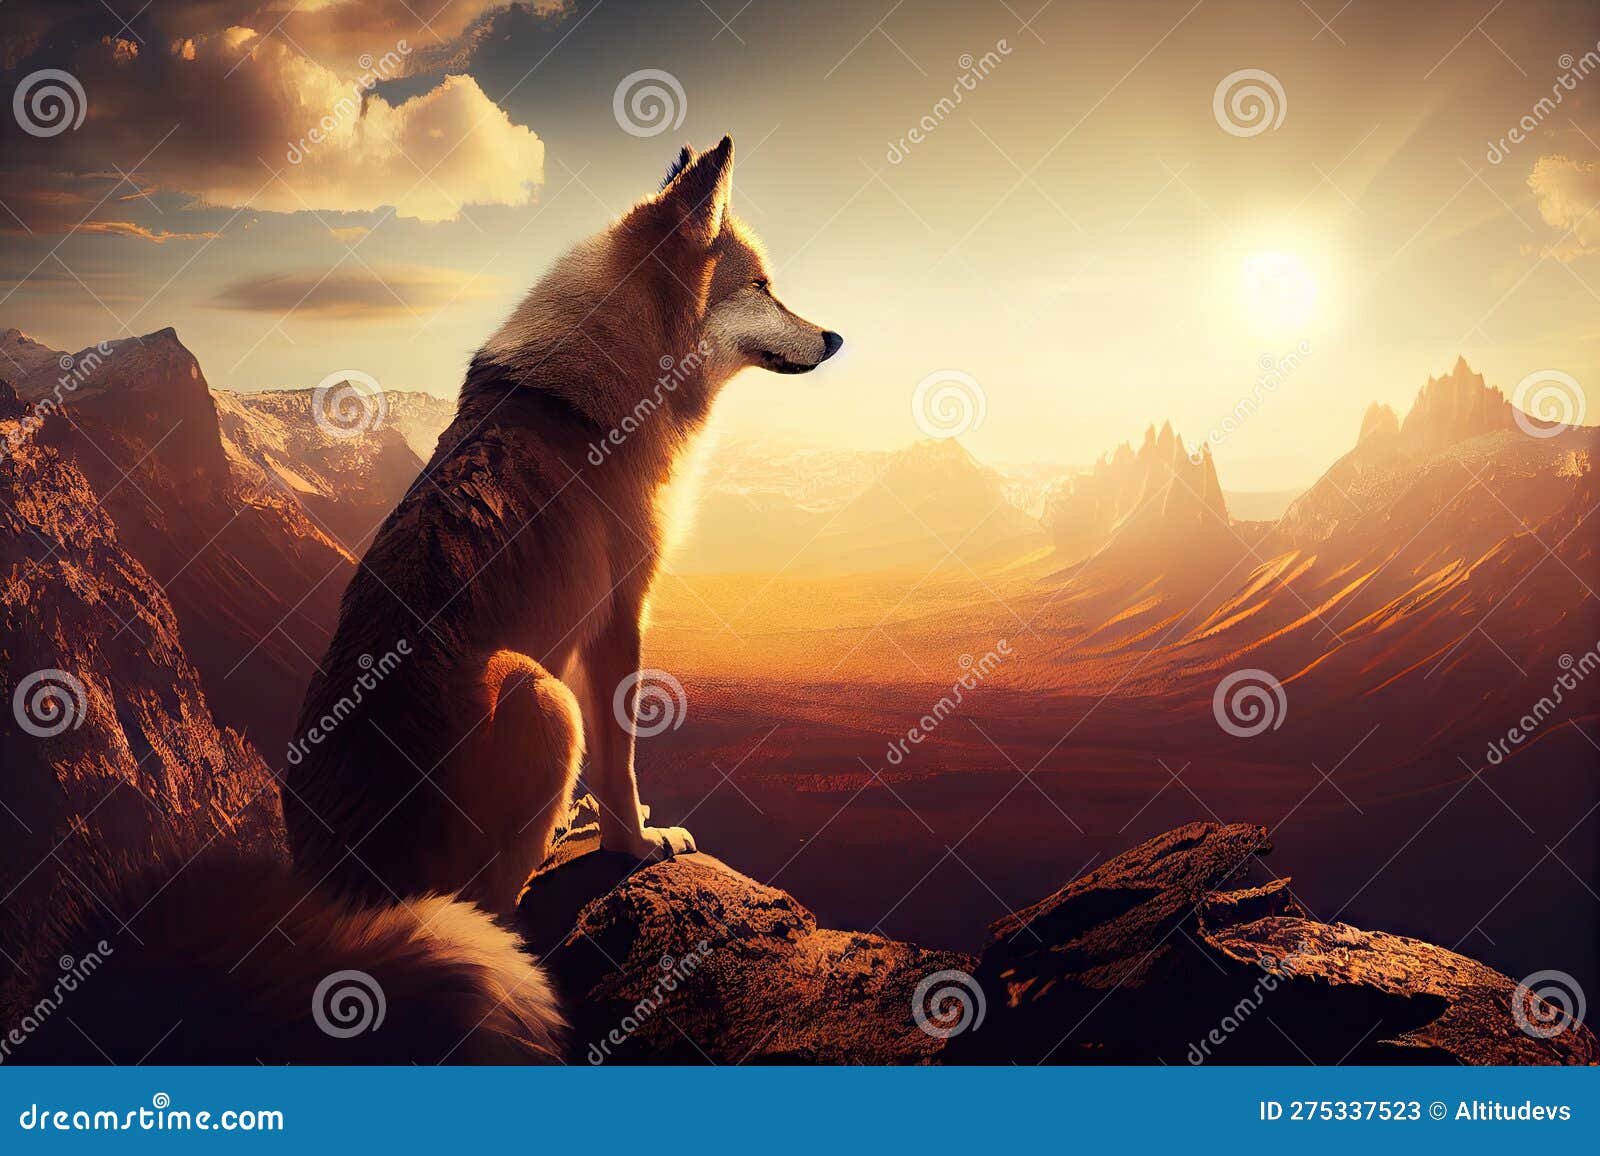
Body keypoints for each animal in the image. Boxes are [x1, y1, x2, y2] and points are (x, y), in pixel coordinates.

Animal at [23, 137, 841, 1063]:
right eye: (763, 286)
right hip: (539, 691)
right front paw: (637, 842)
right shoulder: (619, 618)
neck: (600, 394)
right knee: (496, 913)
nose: (836, 336)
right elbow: (623, 761)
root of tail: (342, 895)